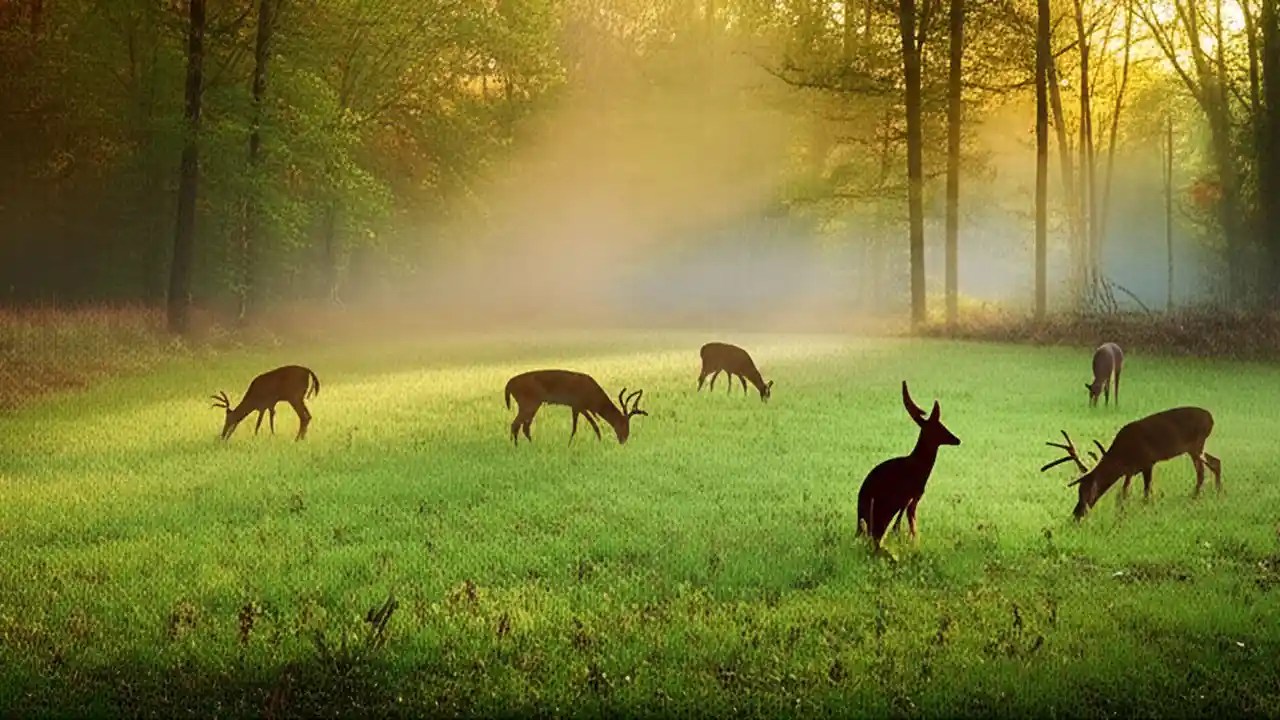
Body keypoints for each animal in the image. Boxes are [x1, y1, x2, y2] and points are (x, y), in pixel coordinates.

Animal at [504, 369, 647, 446]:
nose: (623, 440)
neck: (595, 398)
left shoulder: (578, 407)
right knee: (516, 424)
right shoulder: (579, 405)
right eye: (623, 424)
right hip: (529, 403)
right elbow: (584, 426)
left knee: (523, 426)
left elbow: (588, 425)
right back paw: (516, 446)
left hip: (531, 404)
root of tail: (509, 384)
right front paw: (571, 443)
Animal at [855, 381, 961, 551]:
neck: (919, 465)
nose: (957, 439)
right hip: (885, 508)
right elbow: (905, 526)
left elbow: (909, 525)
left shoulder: (911, 499)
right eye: (941, 427)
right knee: (879, 532)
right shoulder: (910, 497)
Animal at [1040, 406, 1222, 521]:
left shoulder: (1148, 462)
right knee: (1213, 463)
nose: (1076, 515)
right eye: (1078, 491)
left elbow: (1145, 492)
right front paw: (1121, 514)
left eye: (1086, 491)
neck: (1121, 456)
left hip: (1196, 444)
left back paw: (1202, 495)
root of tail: (1211, 418)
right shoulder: (1129, 470)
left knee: (1206, 468)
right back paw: (1212, 493)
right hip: (1195, 448)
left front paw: (1143, 510)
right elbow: (1123, 494)